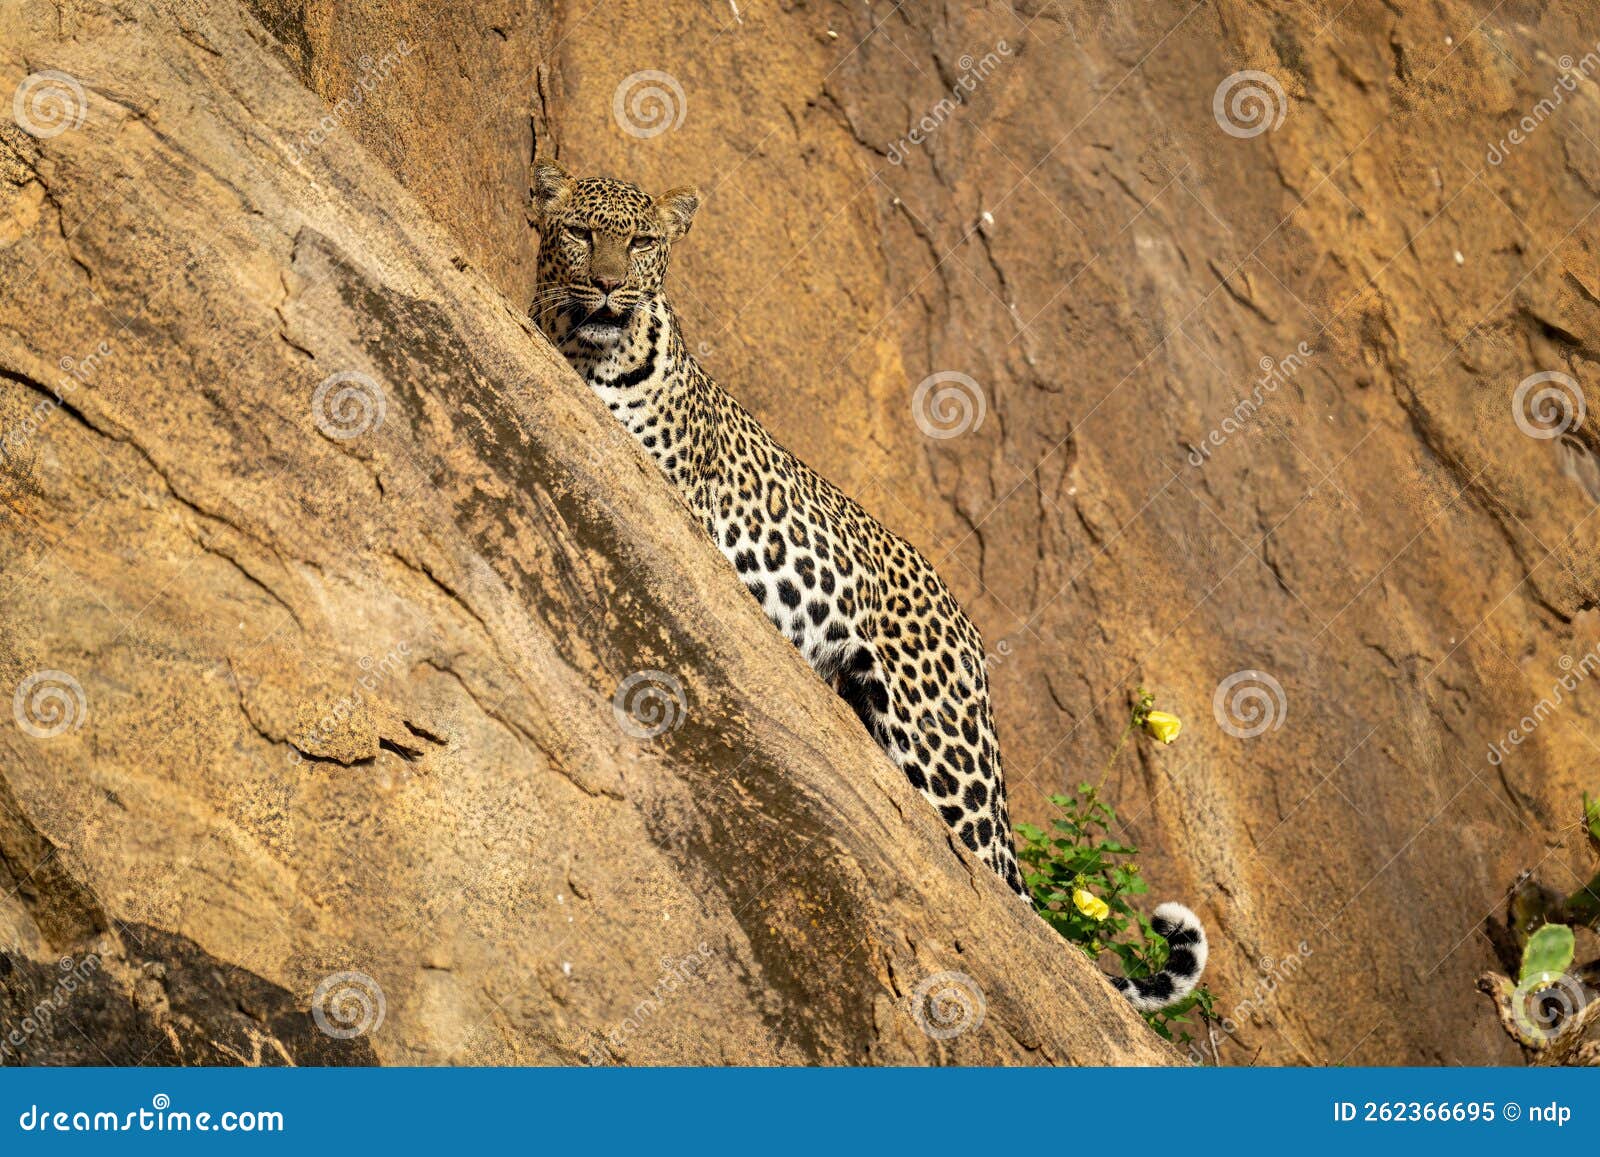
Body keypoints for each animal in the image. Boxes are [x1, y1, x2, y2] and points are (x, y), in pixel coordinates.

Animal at [530, 159, 1206, 1013]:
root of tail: (973, 637)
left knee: (1008, 896)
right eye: (580, 232)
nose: (609, 287)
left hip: (941, 747)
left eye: (645, 241)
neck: (588, 357)